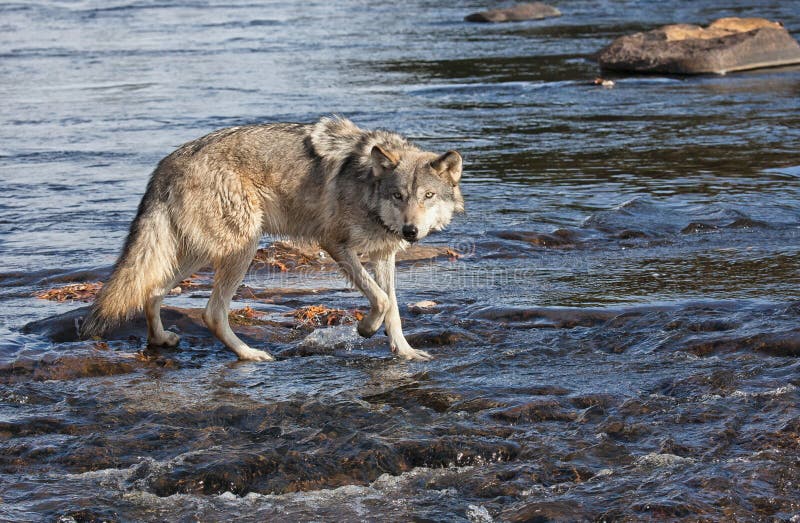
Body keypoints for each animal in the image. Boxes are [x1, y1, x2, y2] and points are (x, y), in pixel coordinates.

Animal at [80, 117, 464, 361]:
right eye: (399, 196)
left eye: (428, 196)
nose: (411, 231)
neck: (366, 185)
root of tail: (166, 164)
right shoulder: (334, 244)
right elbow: (382, 301)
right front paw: (366, 329)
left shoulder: (384, 254)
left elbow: (394, 307)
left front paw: (405, 352)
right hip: (241, 248)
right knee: (211, 313)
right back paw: (250, 355)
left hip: (199, 253)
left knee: (152, 289)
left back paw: (160, 340)